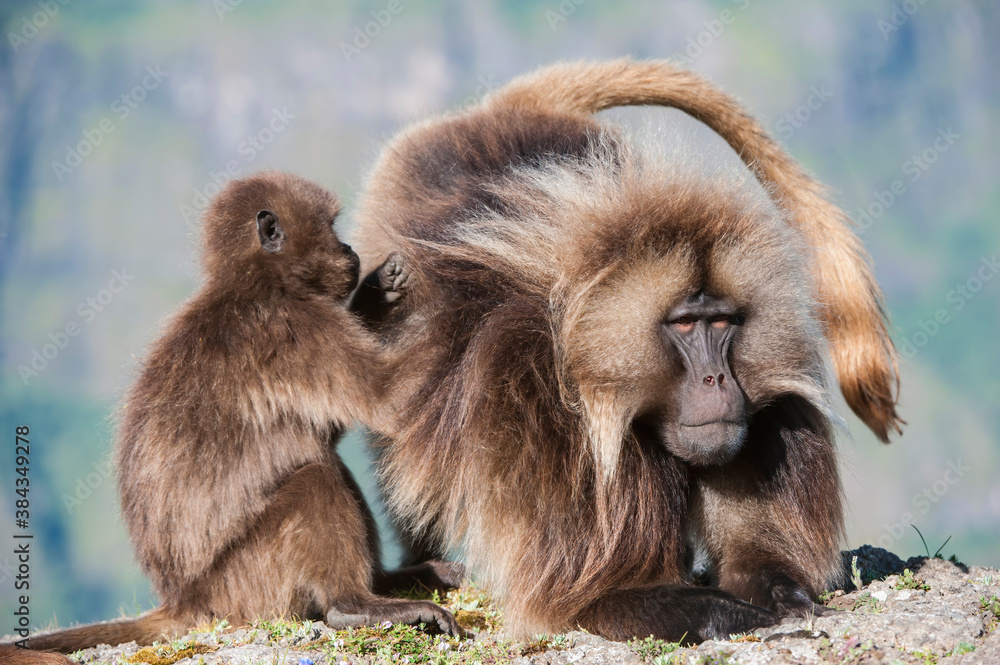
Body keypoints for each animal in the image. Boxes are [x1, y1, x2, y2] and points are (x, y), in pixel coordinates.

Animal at [14, 171, 459, 656]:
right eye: (331, 226)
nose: (350, 252)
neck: (255, 282)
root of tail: (186, 602)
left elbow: (332, 426)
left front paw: (381, 289)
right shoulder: (296, 327)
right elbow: (388, 399)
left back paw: (395, 580)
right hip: (246, 584)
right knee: (316, 481)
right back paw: (357, 605)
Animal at [347, 59, 902, 642]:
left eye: (722, 321)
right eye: (684, 325)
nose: (717, 381)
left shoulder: (763, 424)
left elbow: (755, 562)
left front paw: (787, 599)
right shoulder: (543, 424)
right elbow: (590, 600)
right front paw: (737, 614)